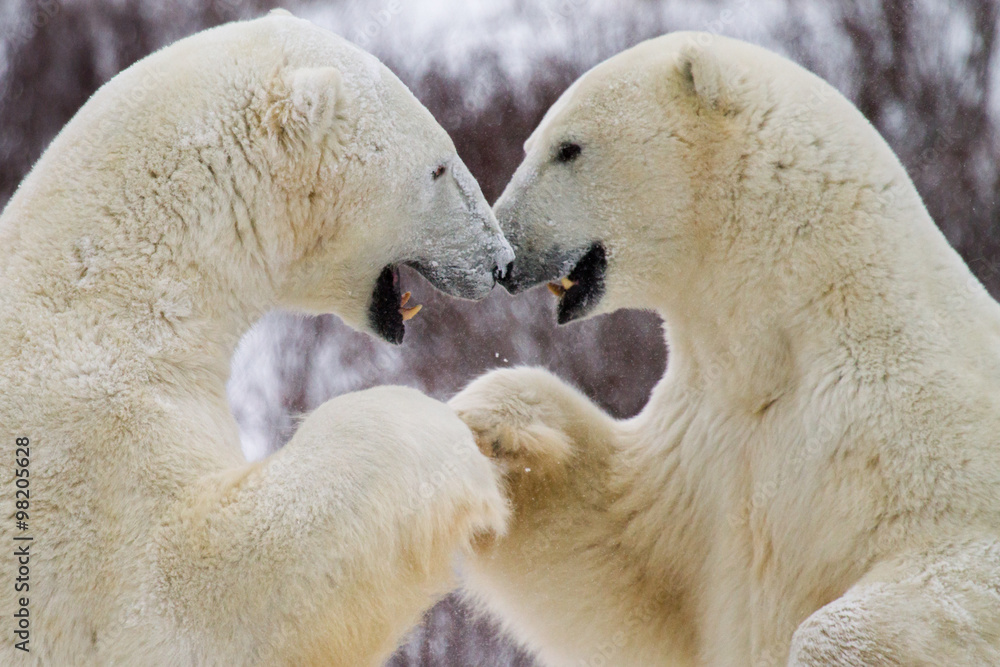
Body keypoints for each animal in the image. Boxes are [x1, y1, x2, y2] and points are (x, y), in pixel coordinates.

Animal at [0, 12, 514, 666]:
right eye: (439, 168)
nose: (501, 261)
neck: (105, 296)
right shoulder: (92, 485)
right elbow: (202, 600)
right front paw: (457, 441)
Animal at [450, 32, 1000, 666]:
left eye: (569, 148)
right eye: (531, 143)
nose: (505, 251)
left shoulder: (908, 440)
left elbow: (949, 581)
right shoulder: (704, 446)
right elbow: (615, 551)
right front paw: (487, 428)